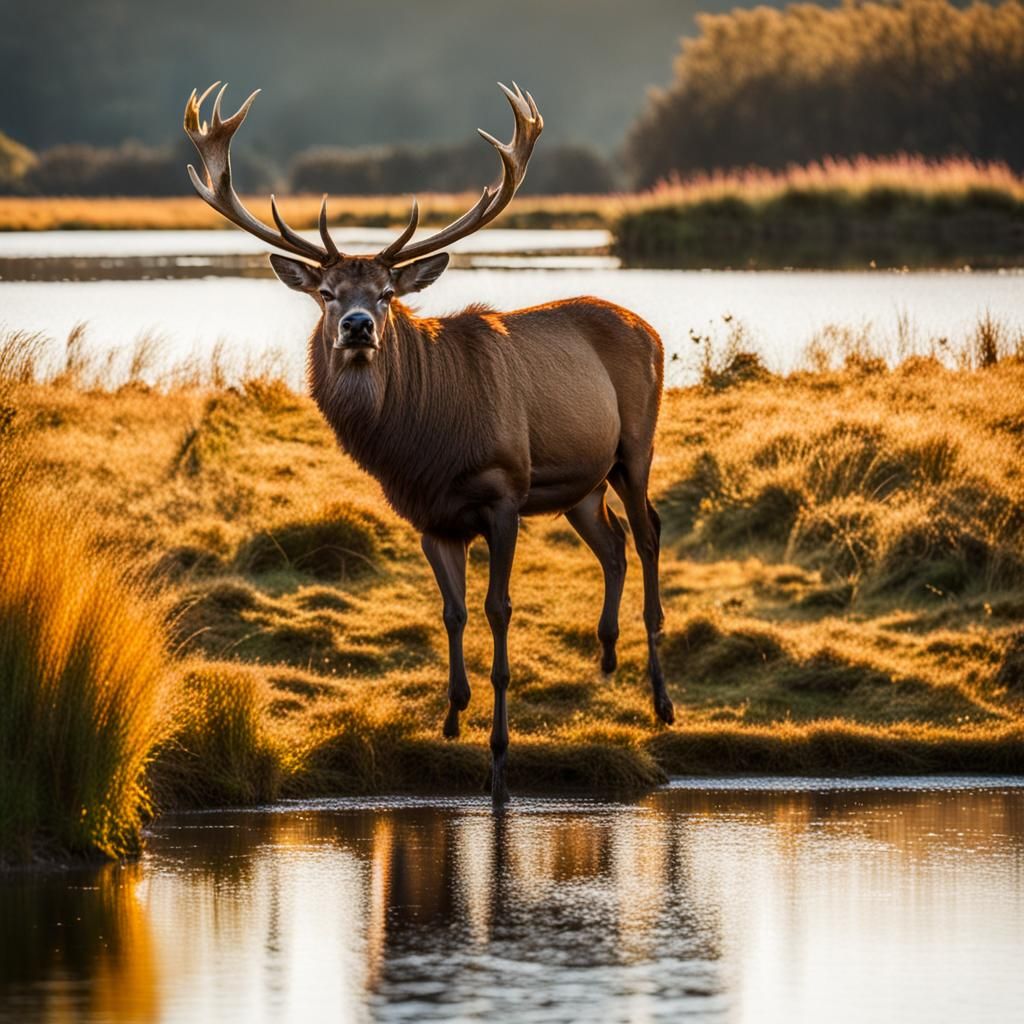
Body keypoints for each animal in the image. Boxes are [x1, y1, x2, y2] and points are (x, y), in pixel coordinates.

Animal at [184, 82, 673, 805]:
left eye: (388, 293)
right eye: (326, 292)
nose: (358, 326)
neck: (427, 448)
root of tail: (649, 329)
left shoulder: (503, 493)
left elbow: (498, 610)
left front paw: (498, 760)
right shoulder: (426, 515)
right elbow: (452, 611)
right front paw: (449, 717)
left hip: (635, 445)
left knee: (648, 533)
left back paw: (662, 699)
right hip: (578, 485)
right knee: (610, 542)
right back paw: (607, 659)